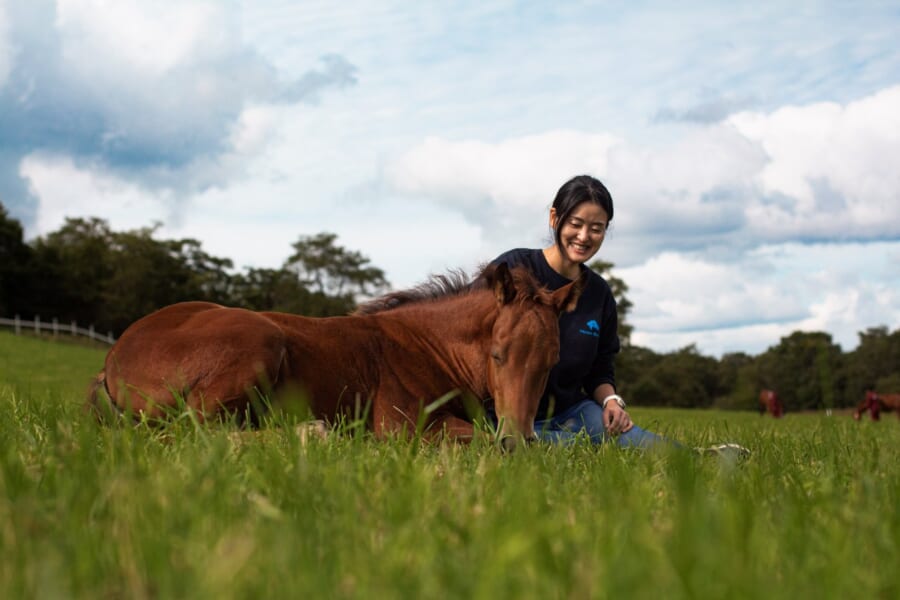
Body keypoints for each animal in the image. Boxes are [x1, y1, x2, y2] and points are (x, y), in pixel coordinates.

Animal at [86, 262, 586, 445]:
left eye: (549, 364)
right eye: (497, 354)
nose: (517, 440)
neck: (426, 348)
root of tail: (112, 359)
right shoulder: (402, 427)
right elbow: (475, 438)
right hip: (259, 341)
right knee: (197, 432)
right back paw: (316, 432)